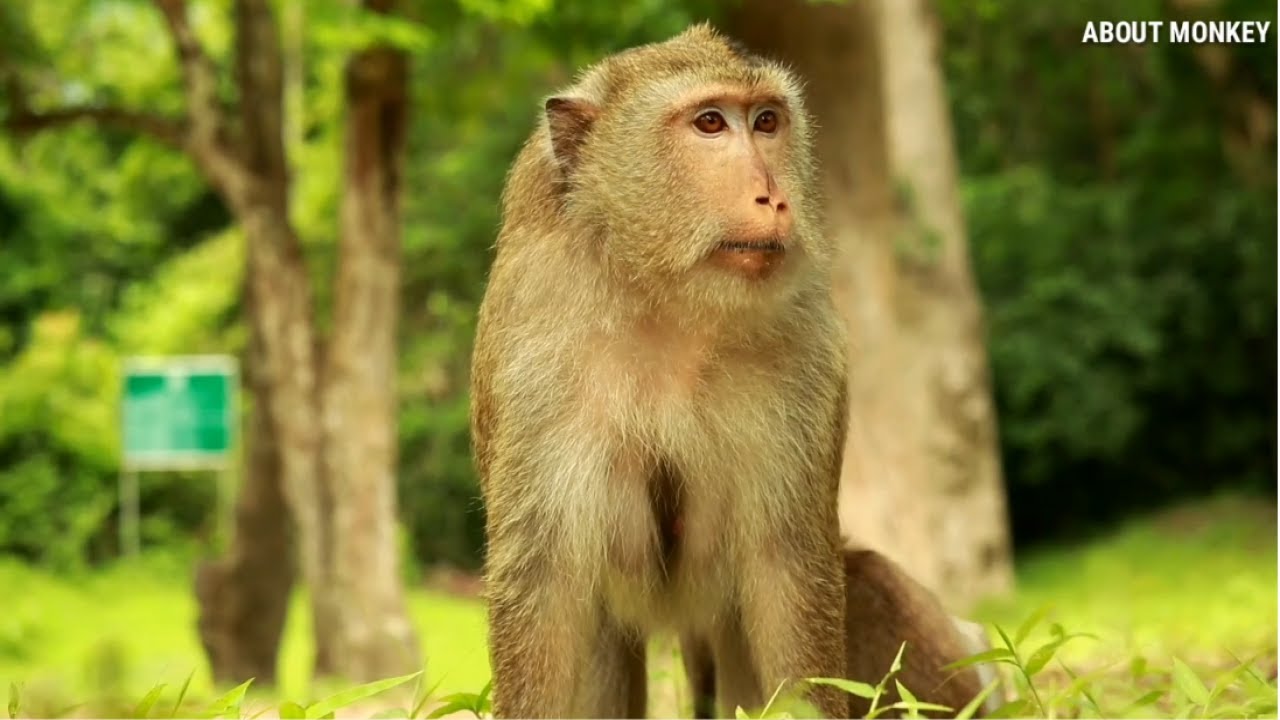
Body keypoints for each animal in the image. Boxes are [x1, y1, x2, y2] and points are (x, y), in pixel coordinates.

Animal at [469, 23, 849, 719]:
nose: (774, 195)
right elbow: (544, 584)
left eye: (766, 121)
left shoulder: (805, 346)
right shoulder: (532, 353)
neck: (666, 302)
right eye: (709, 124)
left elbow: (787, 566)